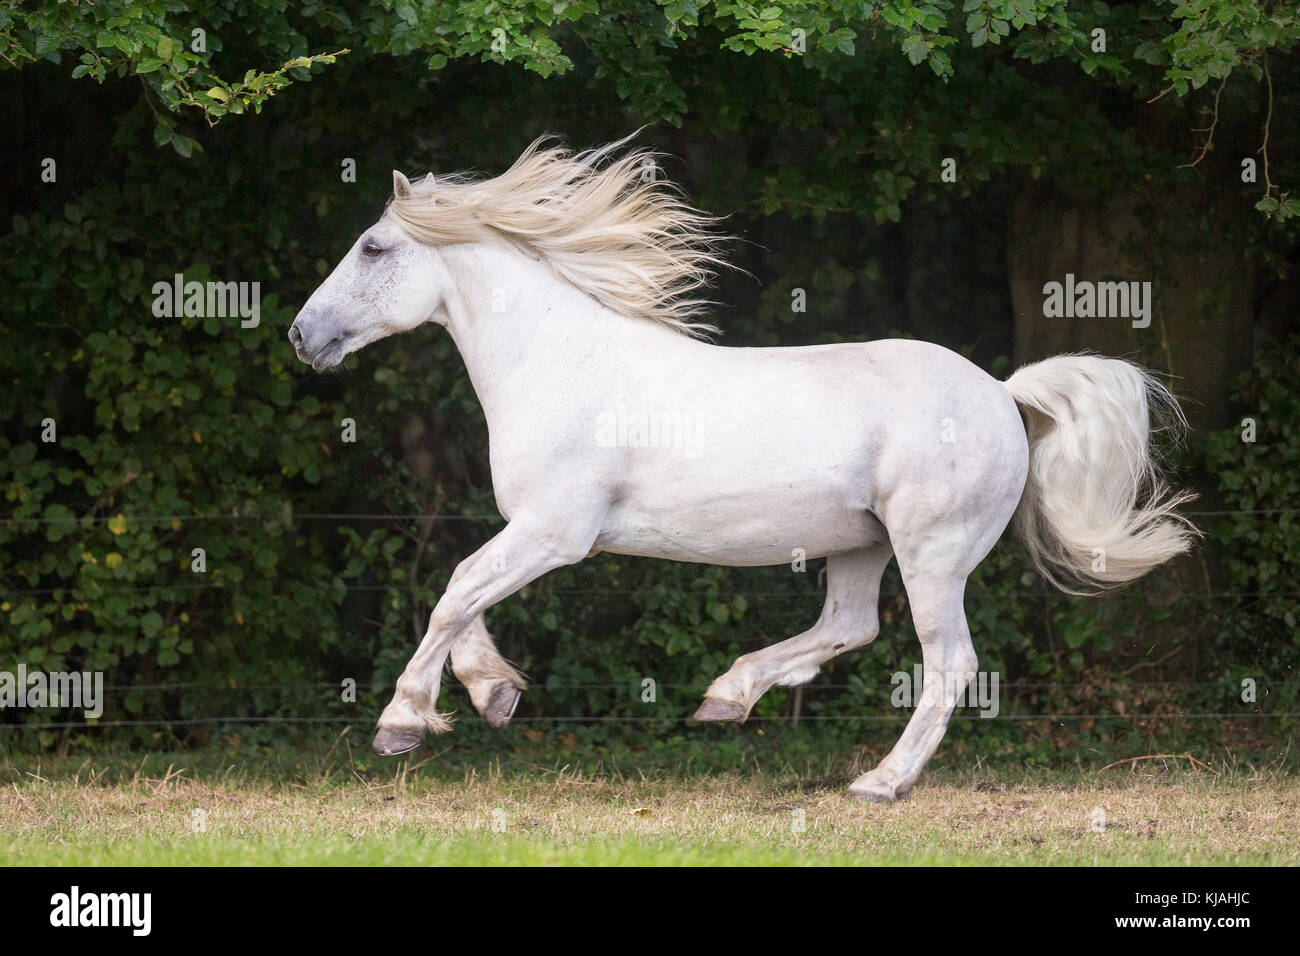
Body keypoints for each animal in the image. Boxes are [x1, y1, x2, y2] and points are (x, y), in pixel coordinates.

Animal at [289, 136, 1198, 801]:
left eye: (373, 247)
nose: (302, 335)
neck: (557, 361)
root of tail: (1005, 394)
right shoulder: (534, 531)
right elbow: (463, 594)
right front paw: (494, 693)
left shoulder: (556, 532)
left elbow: (452, 593)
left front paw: (402, 723)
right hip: (861, 543)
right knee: (849, 627)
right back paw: (728, 697)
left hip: (932, 553)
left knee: (948, 666)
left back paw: (879, 781)